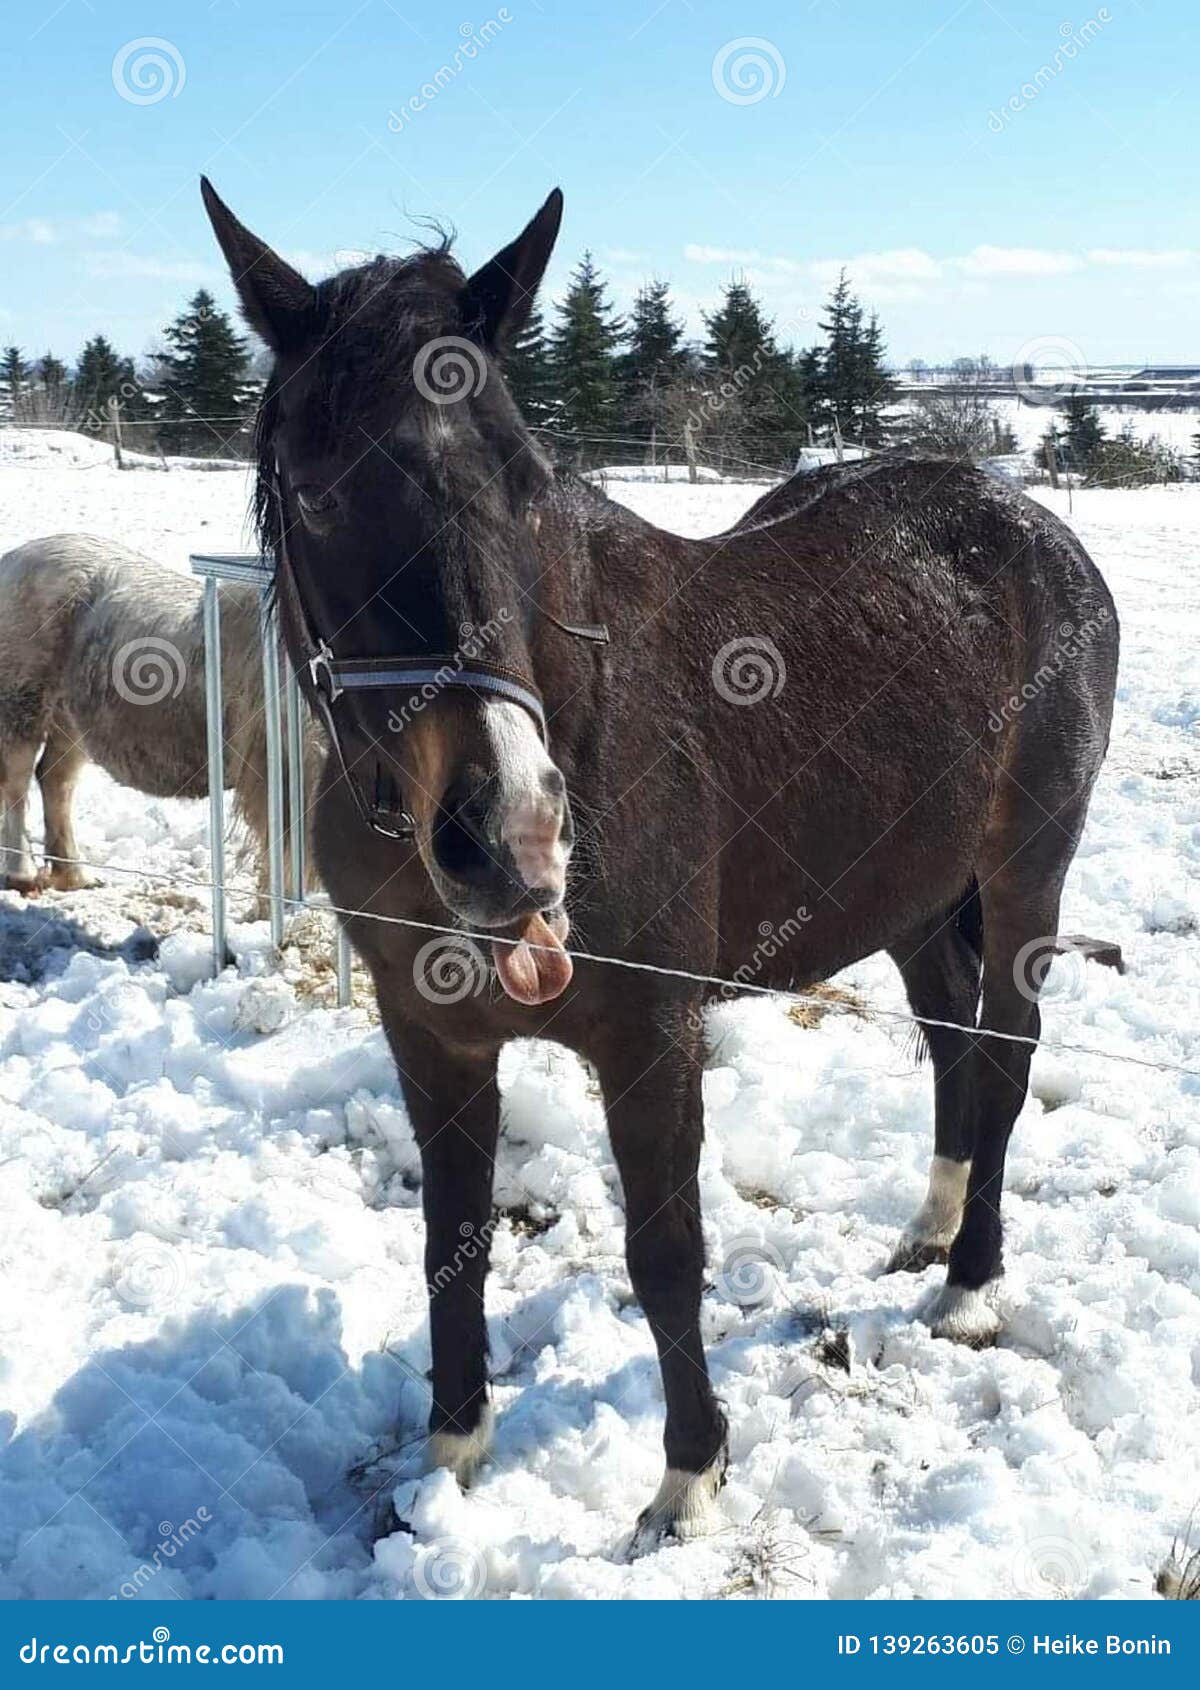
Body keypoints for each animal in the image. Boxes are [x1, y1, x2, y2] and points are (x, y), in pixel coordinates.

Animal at [0, 533, 318, 906]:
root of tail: (13, 558)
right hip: (23, 704)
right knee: (18, 783)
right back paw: (23, 875)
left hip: (71, 721)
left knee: (55, 780)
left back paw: (74, 876)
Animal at [202, 178, 1119, 1551]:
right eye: (313, 494)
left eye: (527, 484)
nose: (513, 832)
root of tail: (1035, 535)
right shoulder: (430, 1033)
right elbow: (453, 1233)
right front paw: (451, 1459)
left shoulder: (652, 1033)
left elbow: (665, 1249)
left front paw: (689, 1478)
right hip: (911, 892)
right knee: (954, 1038)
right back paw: (935, 1223)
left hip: (1022, 873)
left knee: (1004, 1052)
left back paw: (969, 1285)